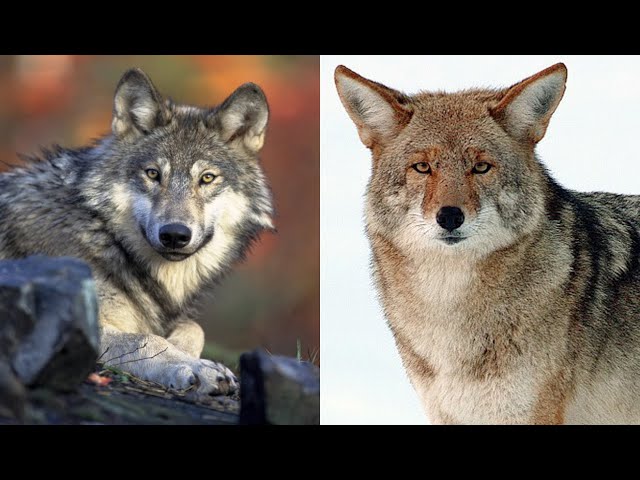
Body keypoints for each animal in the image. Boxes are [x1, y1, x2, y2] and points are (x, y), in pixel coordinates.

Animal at [0, 68, 275, 396]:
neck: (104, 235)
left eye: (207, 178)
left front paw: (187, 353)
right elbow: (146, 339)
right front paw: (196, 367)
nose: (174, 234)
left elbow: (194, 328)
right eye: (153, 174)